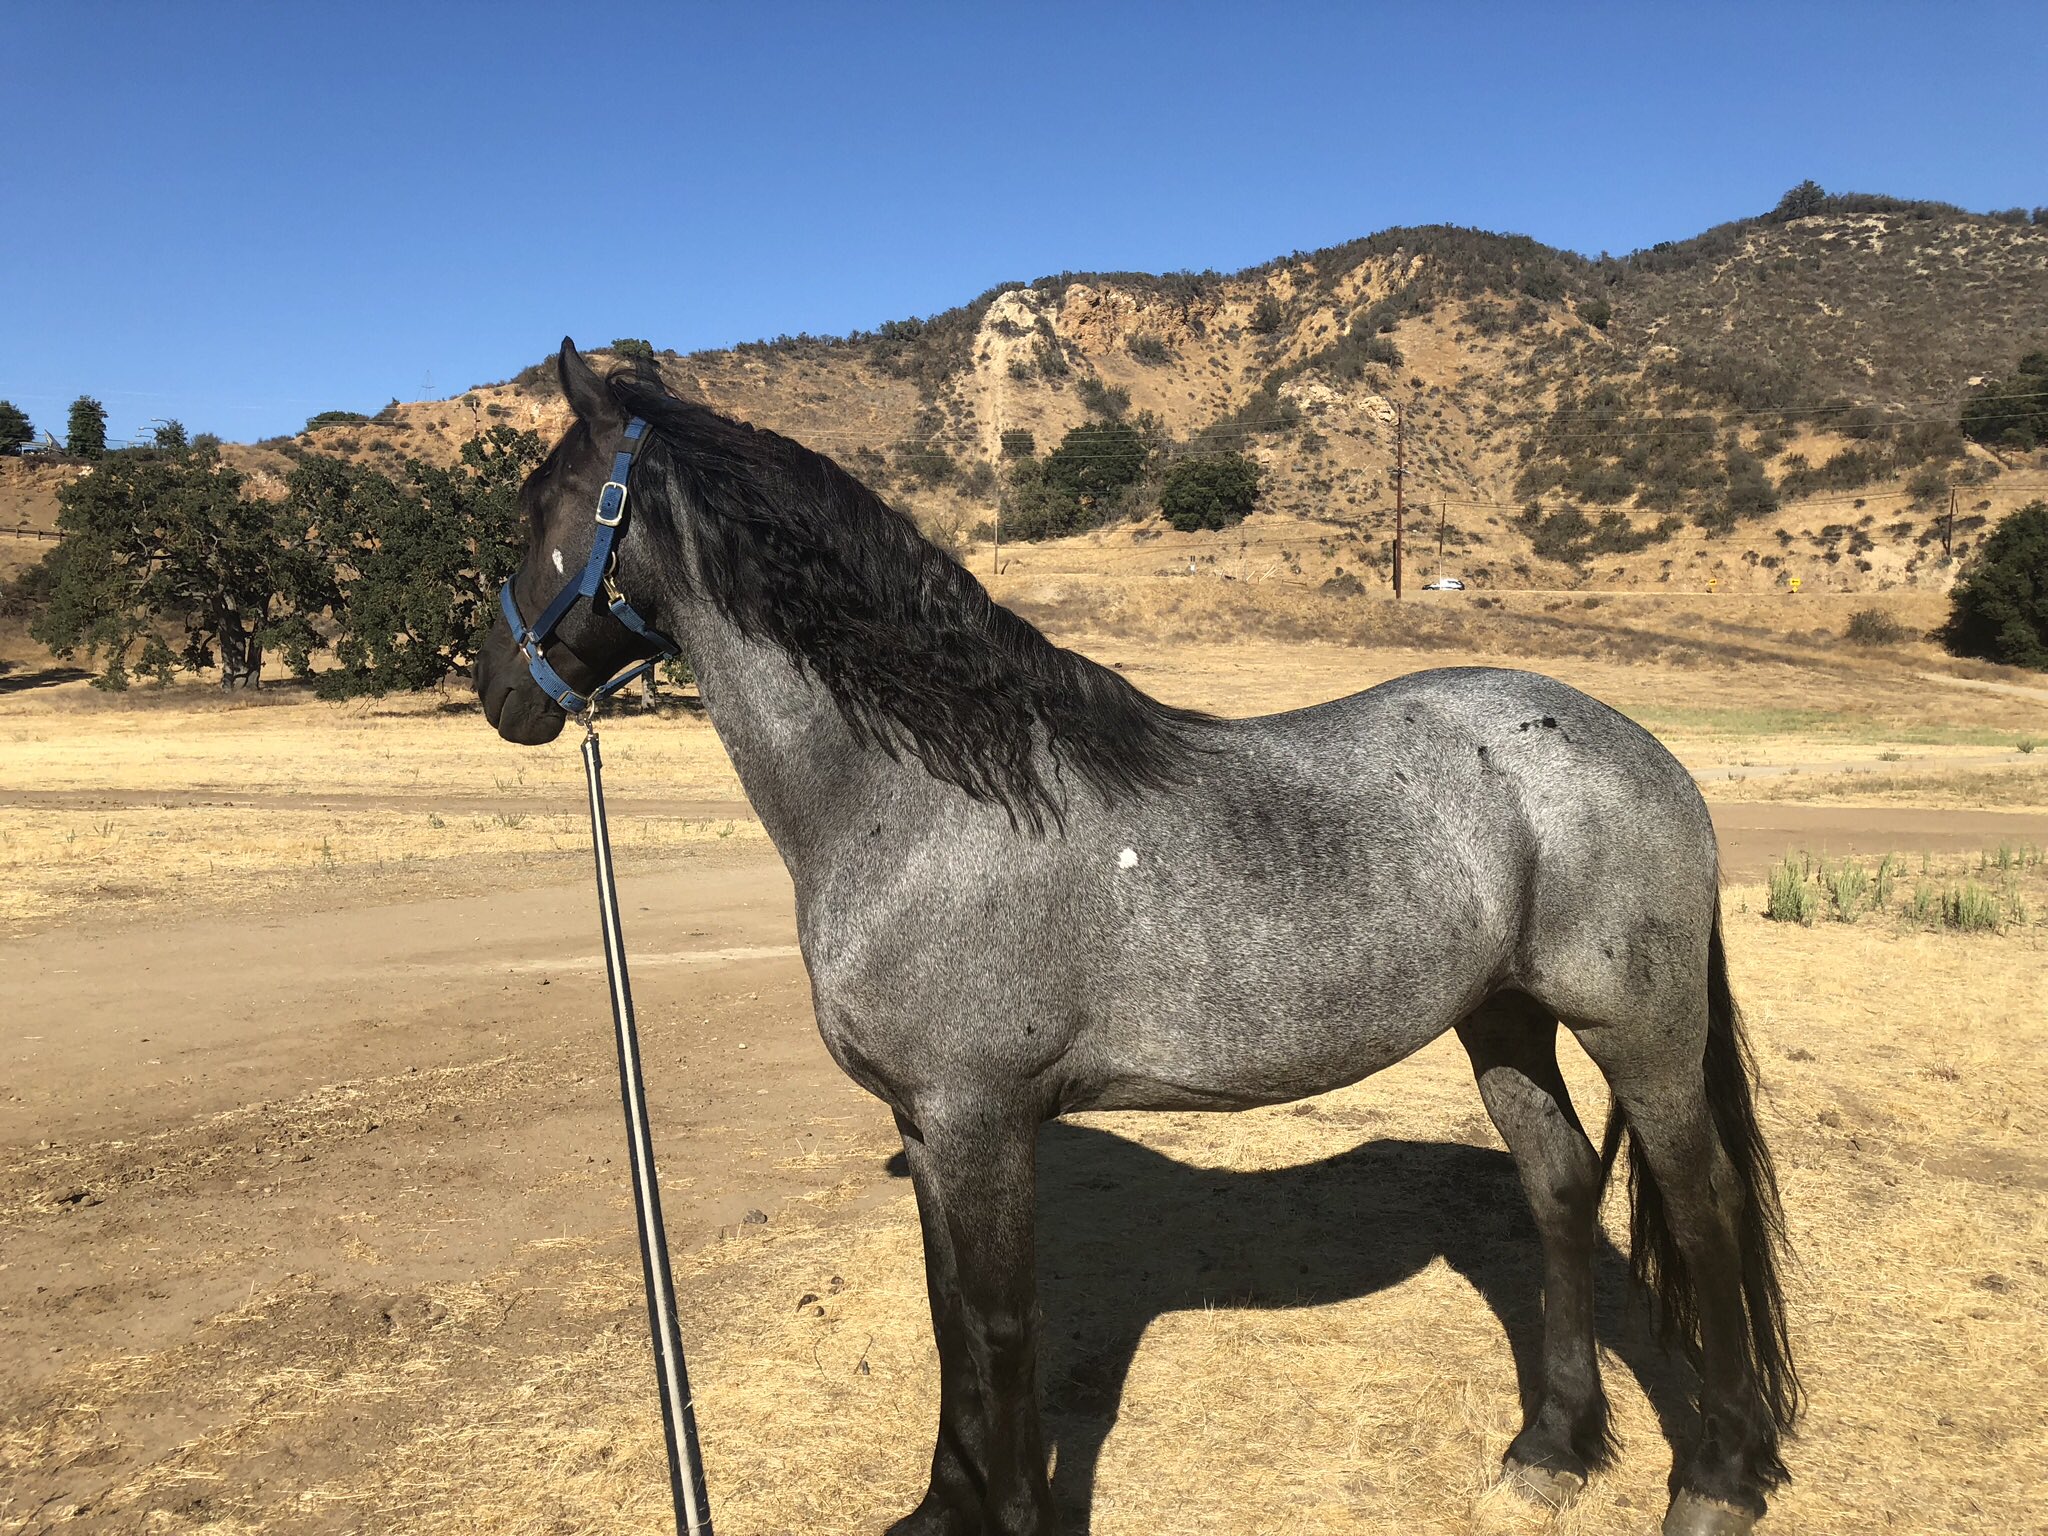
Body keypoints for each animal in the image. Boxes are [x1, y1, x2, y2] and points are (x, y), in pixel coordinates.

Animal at [477, 340, 1801, 1536]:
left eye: (535, 509)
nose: (499, 690)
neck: (928, 801)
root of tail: (1640, 748)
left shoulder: (981, 1121)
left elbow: (1000, 1324)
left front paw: (1009, 1512)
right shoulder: (927, 1124)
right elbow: (945, 1317)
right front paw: (939, 1507)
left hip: (1639, 1030)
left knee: (1704, 1206)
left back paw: (1718, 1478)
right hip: (1504, 1017)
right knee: (1560, 1187)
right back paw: (1550, 1452)